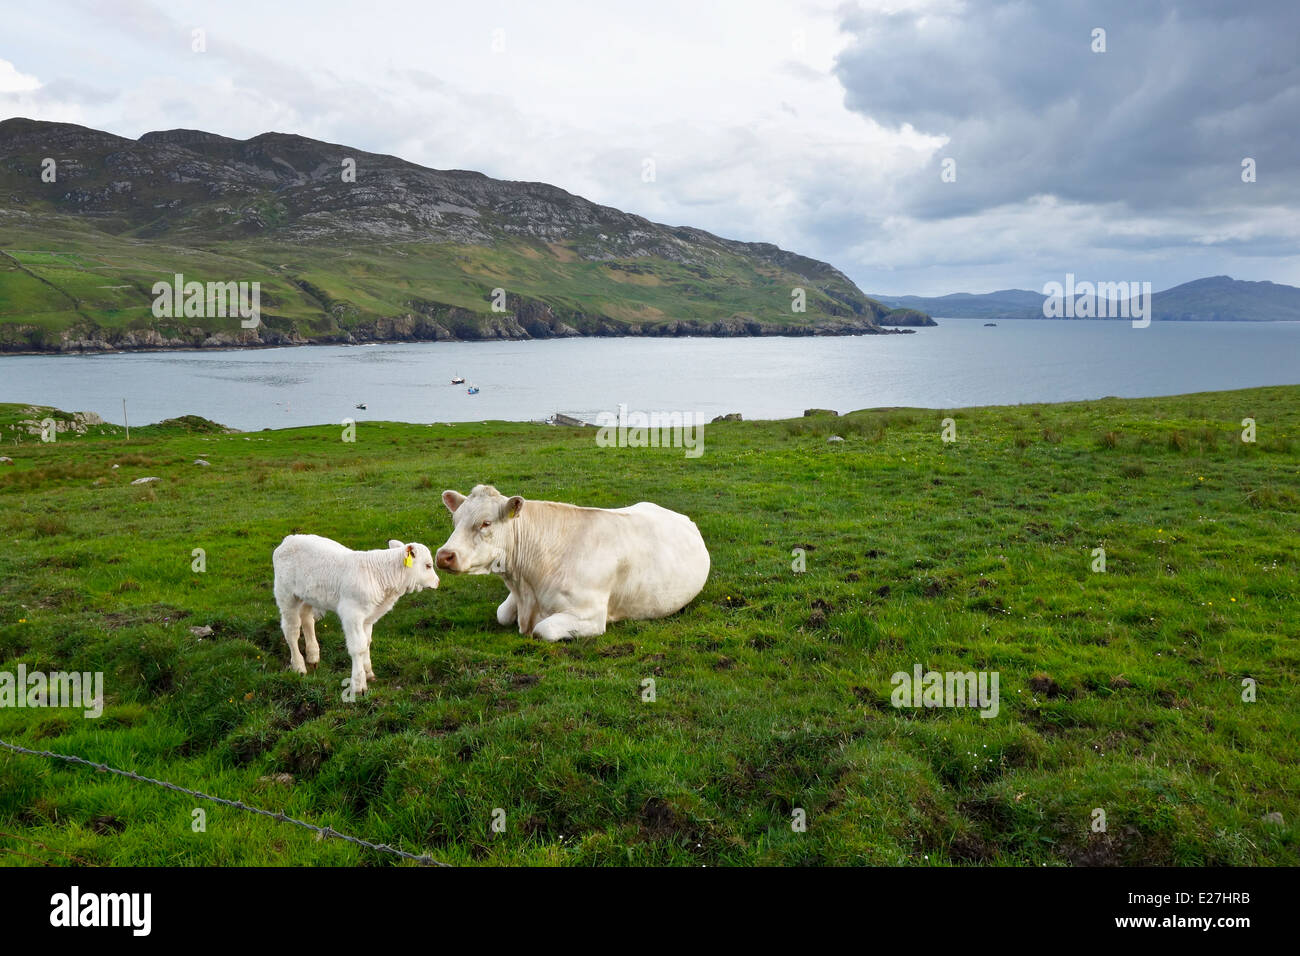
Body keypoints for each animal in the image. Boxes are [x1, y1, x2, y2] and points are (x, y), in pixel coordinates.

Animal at [435, 485, 709, 641]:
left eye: (486, 523)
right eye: (455, 520)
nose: (443, 555)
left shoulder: (590, 615)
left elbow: (543, 630)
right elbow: (502, 613)